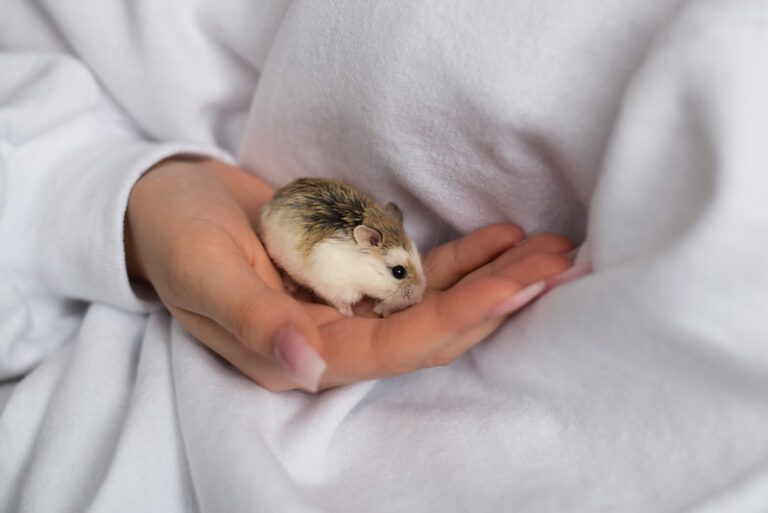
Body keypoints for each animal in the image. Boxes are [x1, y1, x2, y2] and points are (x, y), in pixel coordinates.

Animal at [259, 177, 426, 317]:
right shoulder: (334, 286)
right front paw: (349, 314)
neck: (362, 269)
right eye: (398, 272)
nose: (419, 297)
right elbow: (340, 302)